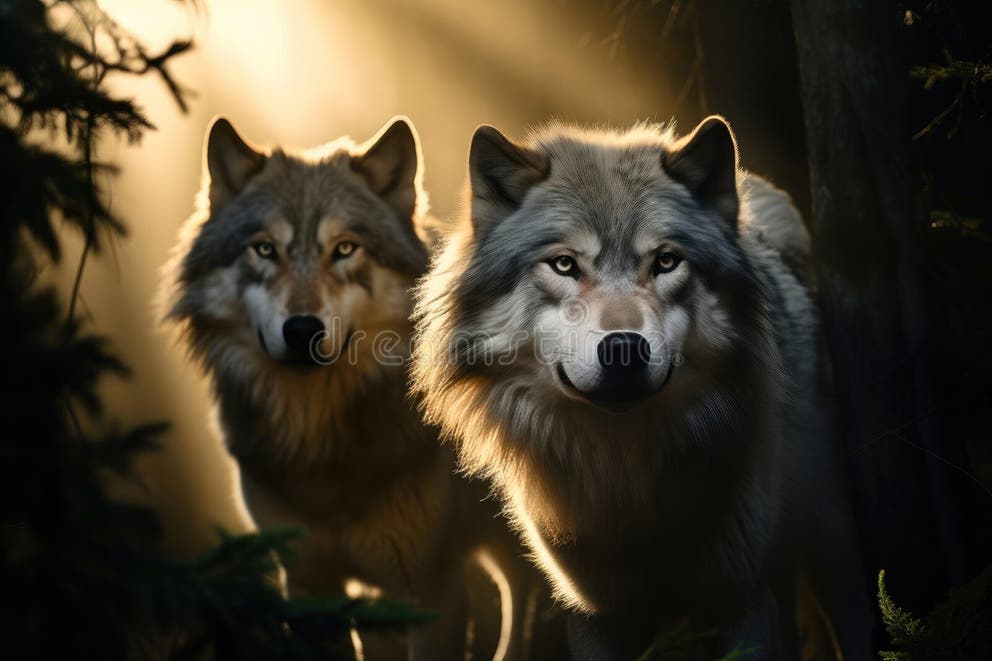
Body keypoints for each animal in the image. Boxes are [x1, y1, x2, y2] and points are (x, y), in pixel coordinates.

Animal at [161, 116, 537, 660]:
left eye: (344, 249)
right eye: (264, 249)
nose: (302, 330)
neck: (321, 449)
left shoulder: (431, 589)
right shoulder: (309, 586)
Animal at [411, 116, 872, 659]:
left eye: (666, 261)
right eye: (564, 264)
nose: (624, 349)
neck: (626, 471)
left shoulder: (739, 595)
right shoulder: (597, 613)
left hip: (830, 536)